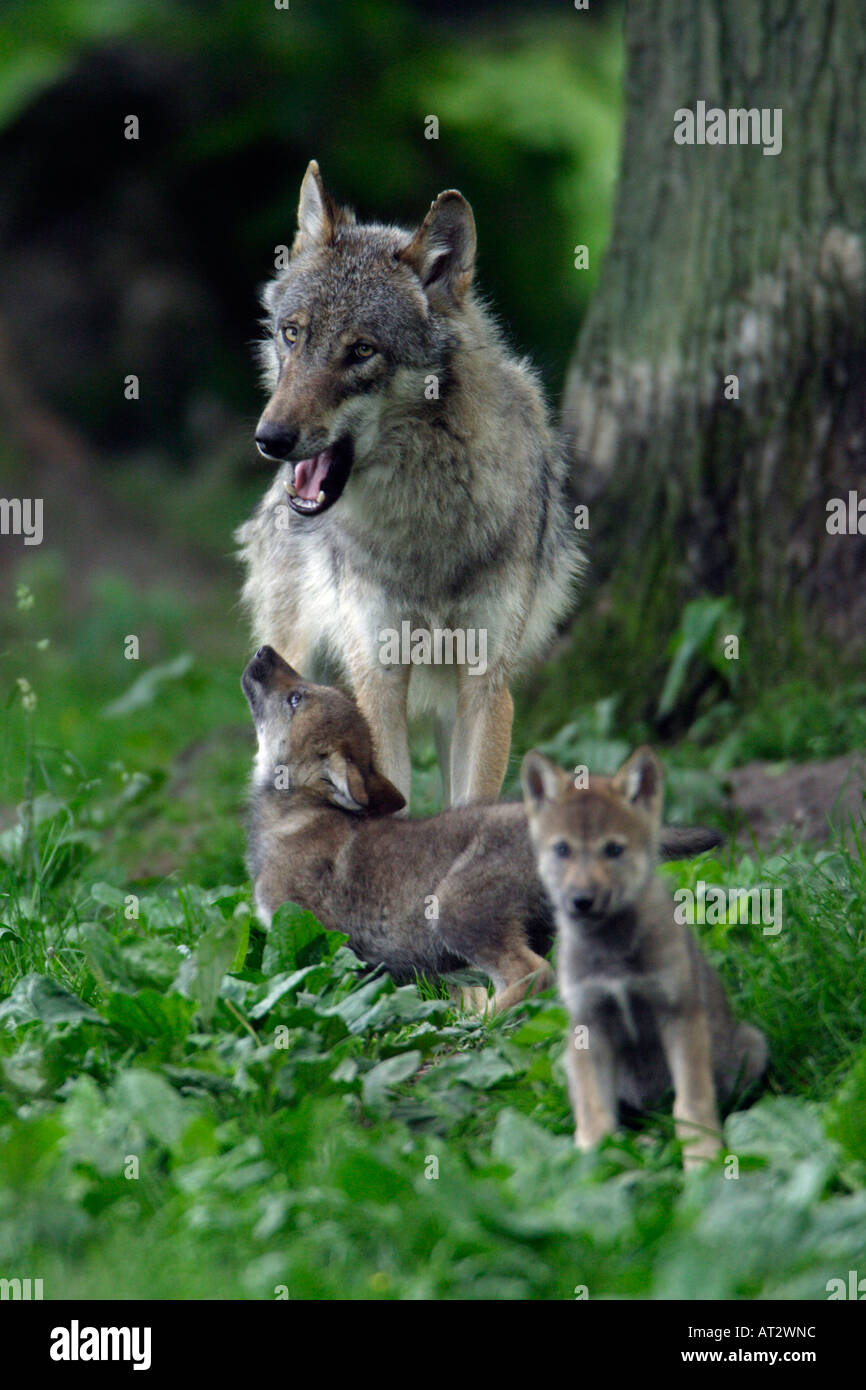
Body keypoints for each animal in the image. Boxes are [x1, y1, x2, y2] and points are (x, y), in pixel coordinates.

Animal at [236, 161, 583, 810]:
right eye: (292, 334)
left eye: (361, 350)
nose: (270, 439)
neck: (424, 520)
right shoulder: (378, 676)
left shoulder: (485, 685)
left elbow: (471, 806)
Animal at [243, 646, 724, 1011]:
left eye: (297, 698)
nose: (265, 650)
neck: (296, 811)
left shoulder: (315, 935)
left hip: (455, 908)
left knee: (531, 974)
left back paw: (477, 1021)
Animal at [521, 746, 767, 1166]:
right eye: (562, 849)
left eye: (613, 849)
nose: (581, 900)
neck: (612, 954)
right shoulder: (588, 1024)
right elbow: (595, 1115)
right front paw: (594, 1163)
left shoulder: (678, 1014)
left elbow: (692, 1105)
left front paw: (703, 1159)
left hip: (750, 1048)